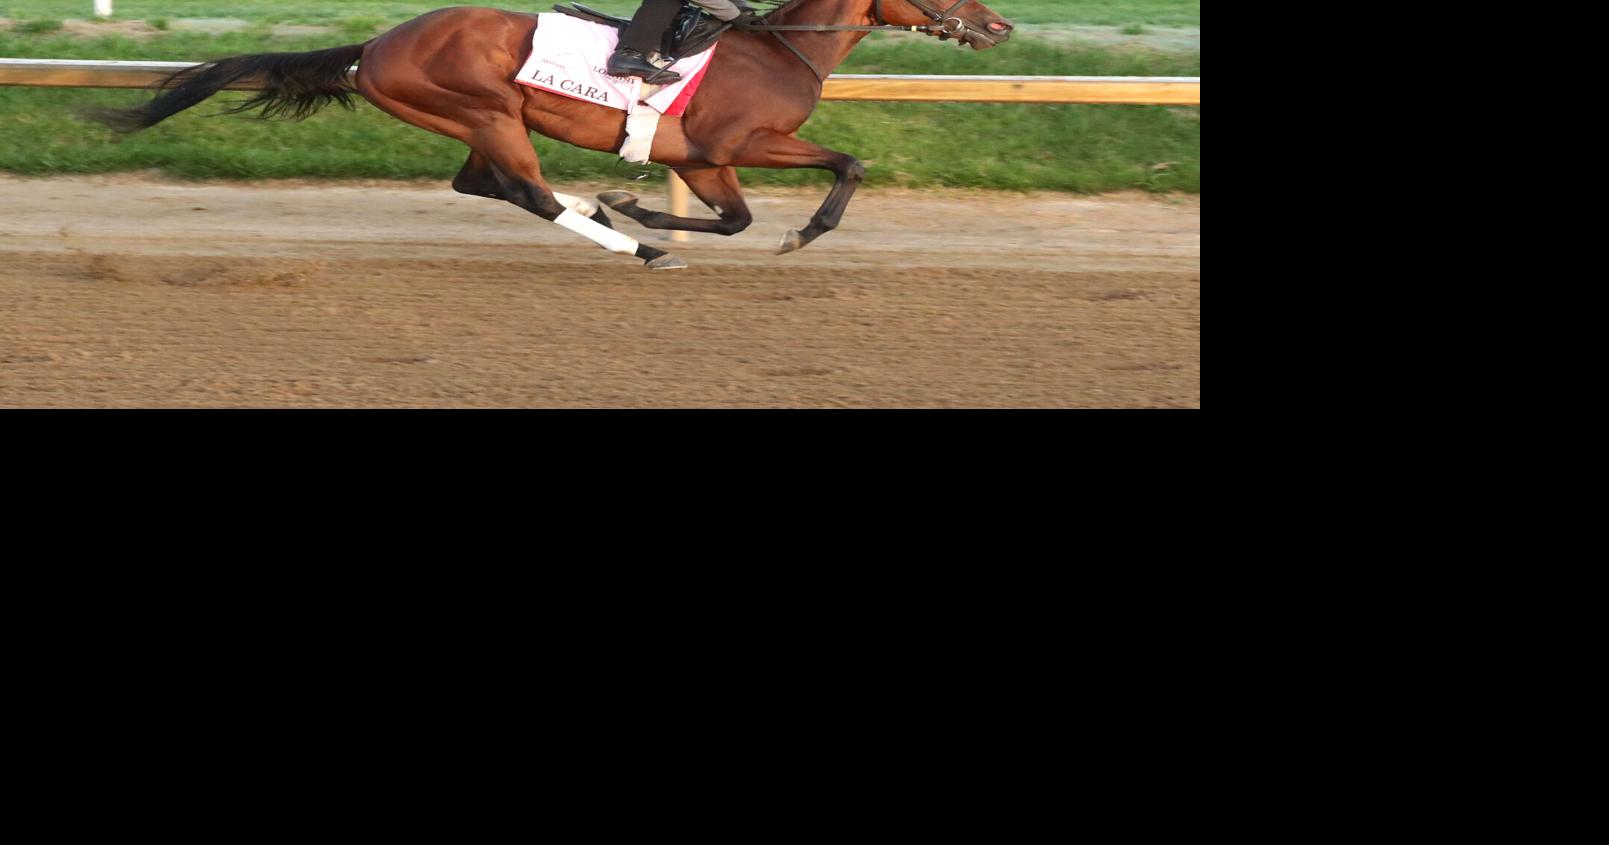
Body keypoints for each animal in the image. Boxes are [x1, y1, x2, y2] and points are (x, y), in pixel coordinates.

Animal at [89, 0, 1015, 269]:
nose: (999, 24)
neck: (779, 48)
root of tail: (377, 44)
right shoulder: (736, 141)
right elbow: (845, 165)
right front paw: (803, 232)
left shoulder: (702, 158)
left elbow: (734, 218)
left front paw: (627, 202)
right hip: (483, 108)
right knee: (522, 188)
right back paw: (634, 247)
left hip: (478, 118)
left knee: (482, 182)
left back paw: (608, 218)